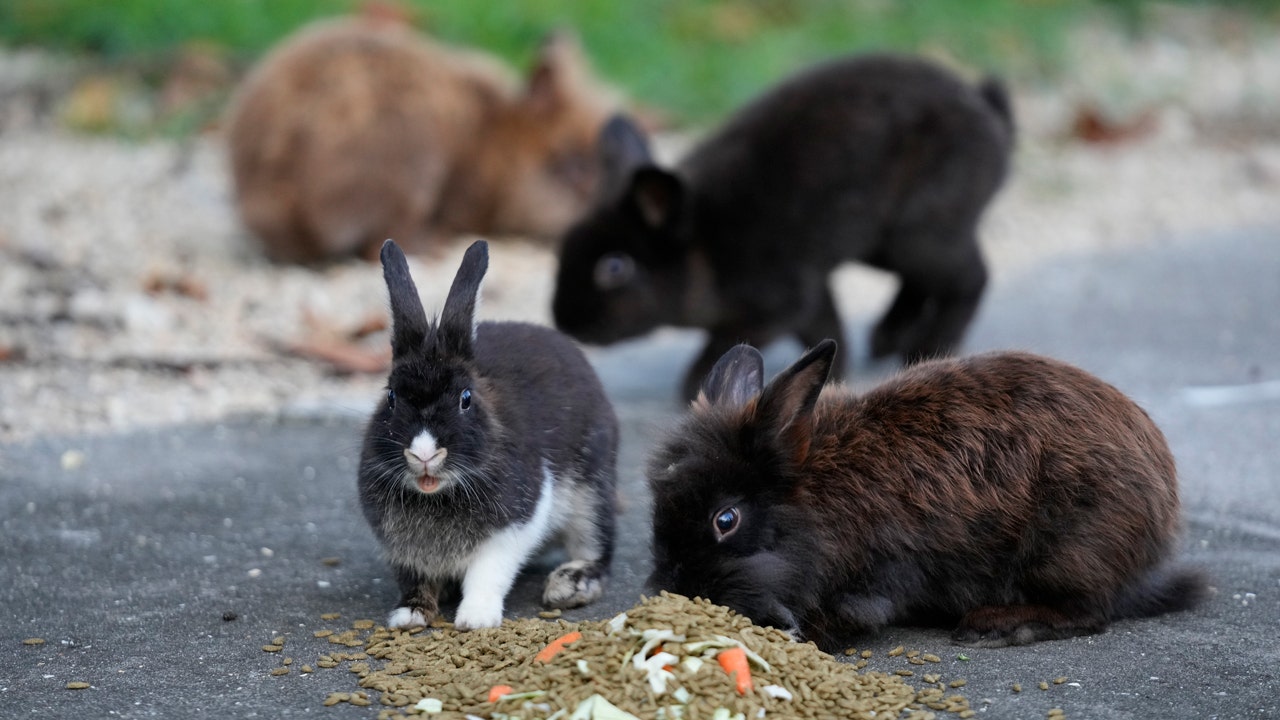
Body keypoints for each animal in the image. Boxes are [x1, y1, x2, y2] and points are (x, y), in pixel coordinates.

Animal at [358, 239, 618, 630]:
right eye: (390, 397)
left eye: (466, 399)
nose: (424, 453)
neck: (439, 494)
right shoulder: (403, 550)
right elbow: (415, 579)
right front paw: (410, 615)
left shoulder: (515, 526)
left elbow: (488, 572)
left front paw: (475, 619)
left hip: (592, 491)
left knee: (598, 546)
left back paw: (569, 584)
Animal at [552, 54, 1014, 401]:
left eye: (615, 267)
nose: (565, 322)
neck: (702, 243)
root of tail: (987, 116)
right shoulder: (811, 289)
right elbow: (826, 327)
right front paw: (837, 375)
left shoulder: (777, 304)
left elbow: (726, 344)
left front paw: (694, 389)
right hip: (885, 247)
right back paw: (888, 338)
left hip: (916, 235)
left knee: (971, 277)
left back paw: (926, 349)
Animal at [646, 340, 1207, 649]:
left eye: (726, 520)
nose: (669, 590)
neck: (816, 496)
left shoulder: (877, 579)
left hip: (1069, 547)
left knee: (1089, 611)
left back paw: (995, 628)